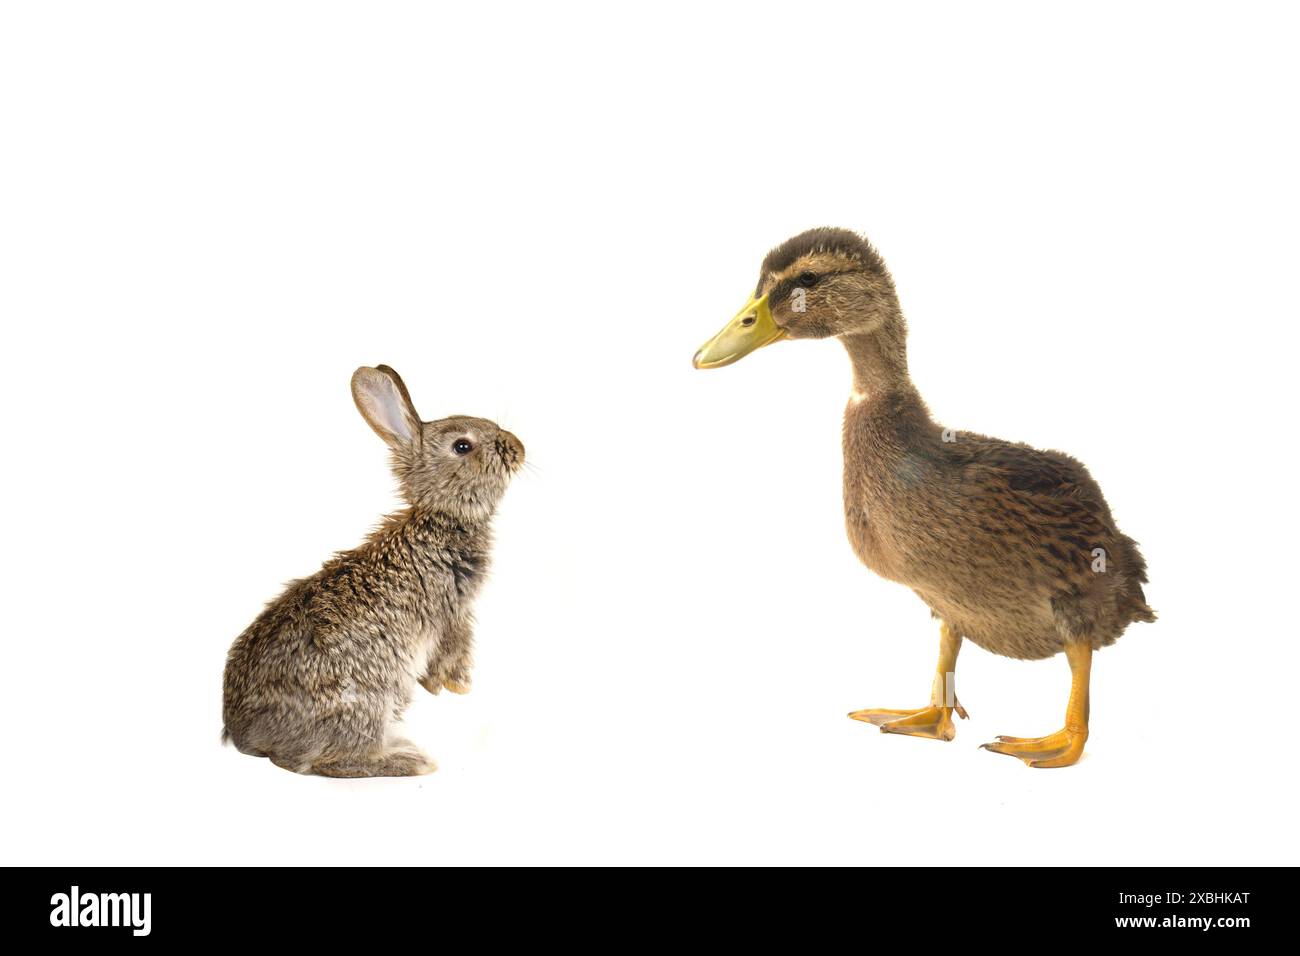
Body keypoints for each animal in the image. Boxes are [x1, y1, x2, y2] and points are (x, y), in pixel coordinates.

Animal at [221, 365, 524, 777]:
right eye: (463, 446)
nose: (518, 447)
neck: (439, 520)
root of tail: (246, 737)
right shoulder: (451, 609)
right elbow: (454, 649)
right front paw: (458, 686)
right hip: (366, 696)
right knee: (322, 762)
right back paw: (410, 760)